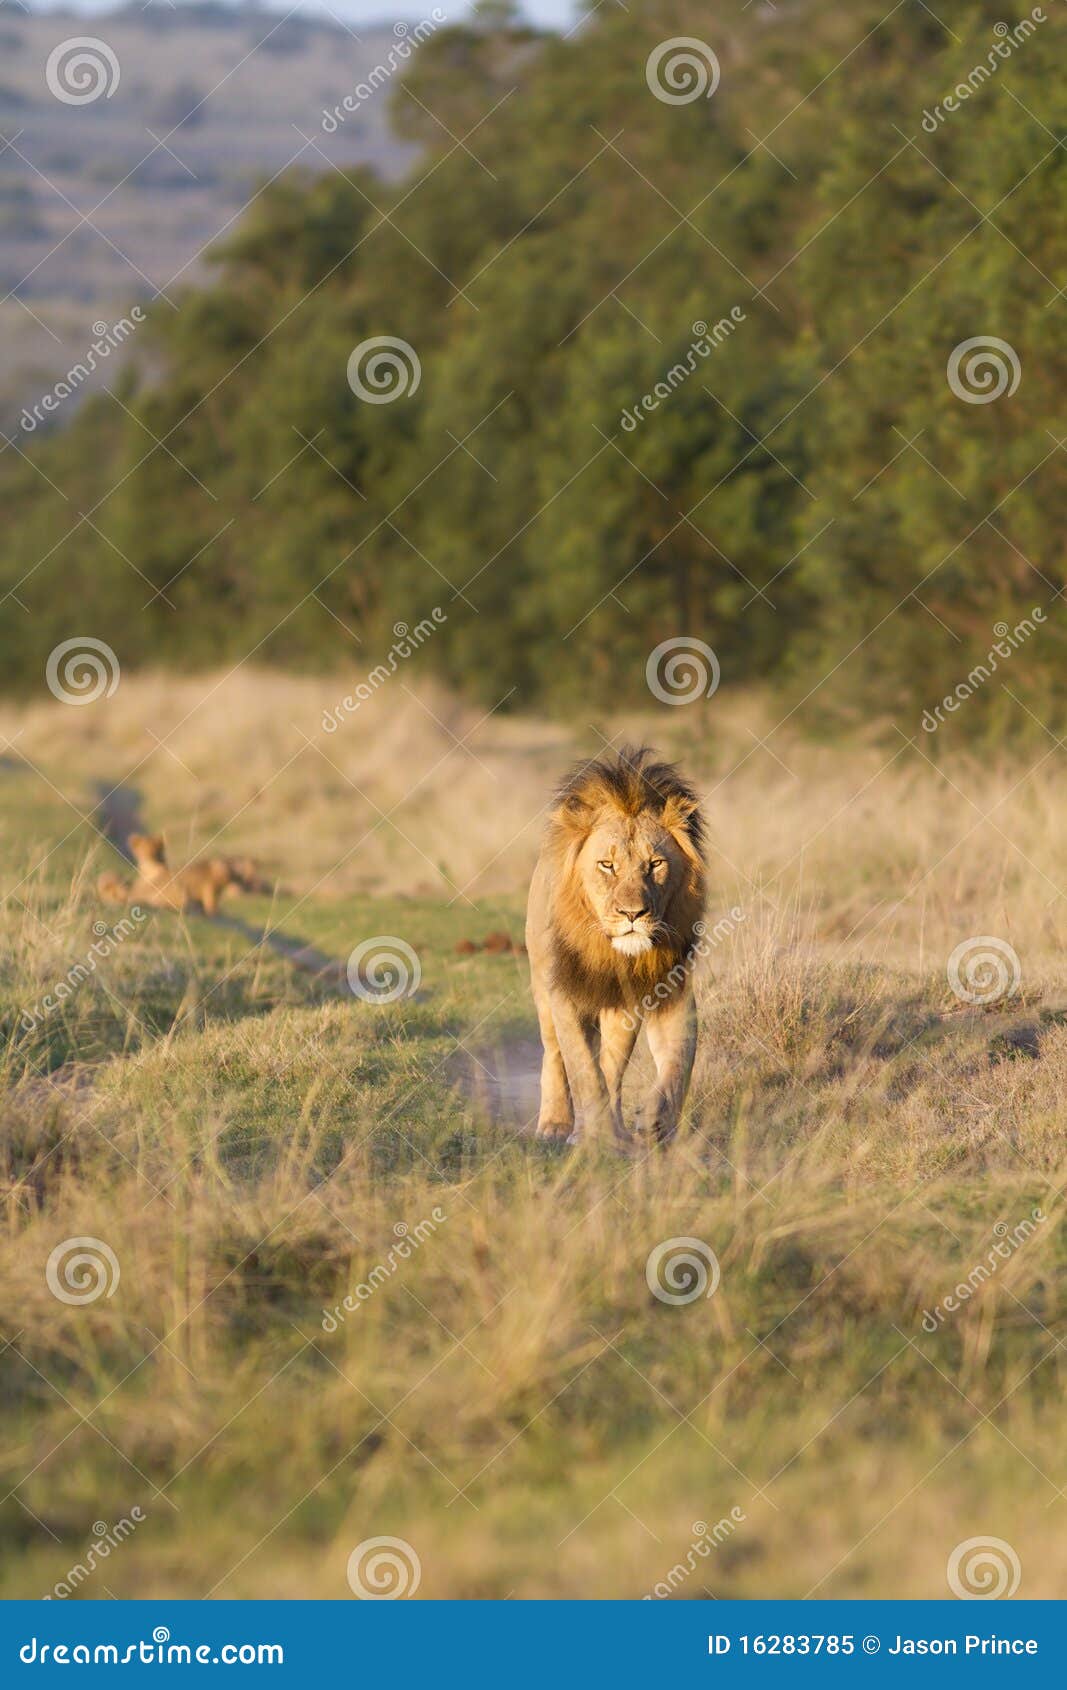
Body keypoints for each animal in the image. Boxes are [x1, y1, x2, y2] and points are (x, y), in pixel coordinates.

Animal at [525, 745, 707, 1146]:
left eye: (655, 863)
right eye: (607, 865)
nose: (633, 913)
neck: (613, 954)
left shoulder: (671, 991)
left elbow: (678, 1064)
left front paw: (655, 1121)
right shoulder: (564, 992)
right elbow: (581, 1067)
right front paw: (593, 1136)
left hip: (622, 1011)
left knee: (611, 1066)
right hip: (542, 984)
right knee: (554, 1054)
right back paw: (556, 1124)